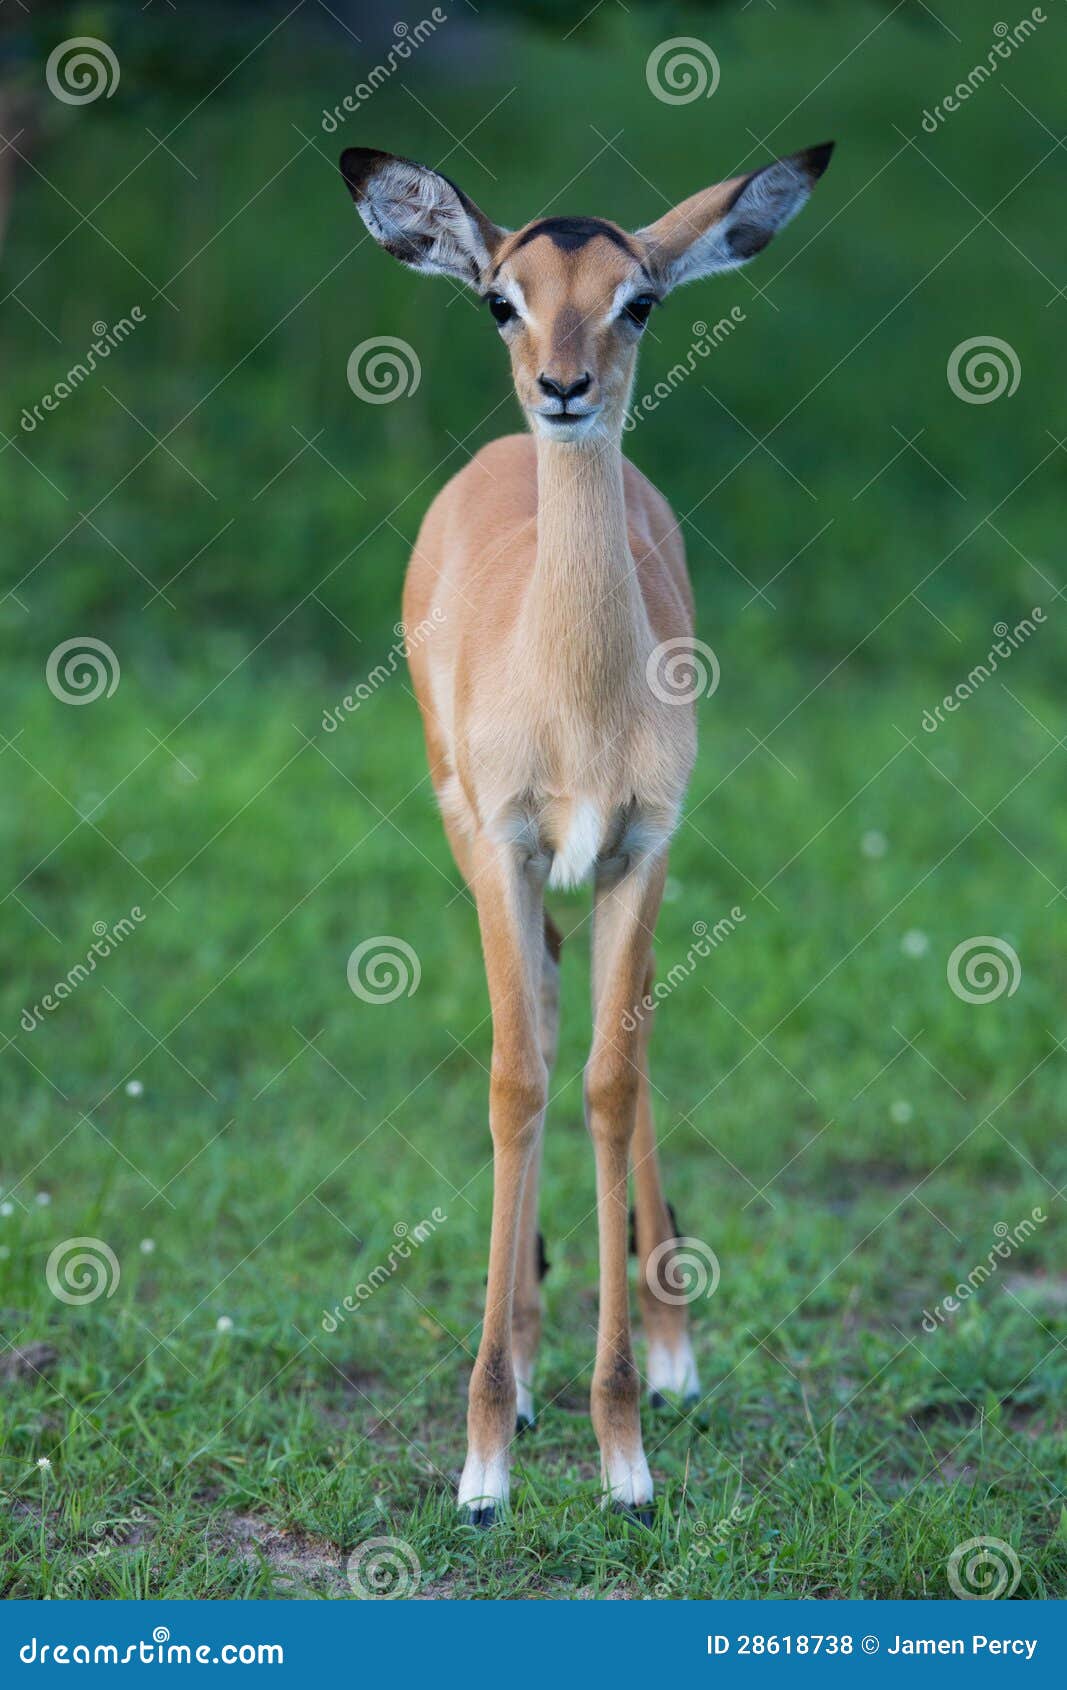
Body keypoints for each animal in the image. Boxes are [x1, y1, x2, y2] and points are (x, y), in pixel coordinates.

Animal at [339, 139, 833, 1524]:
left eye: (639, 300)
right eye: (499, 300)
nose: (562, 390)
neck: (574, 701)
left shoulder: (640, 852)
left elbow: (611, 1084)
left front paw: (625, 1454)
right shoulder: (503, 850)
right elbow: (517, 1083)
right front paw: (482, 1462)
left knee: (618, 1043)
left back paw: (661, 1356)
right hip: (469, 841)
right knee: (543, 1030)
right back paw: (516, 1356)